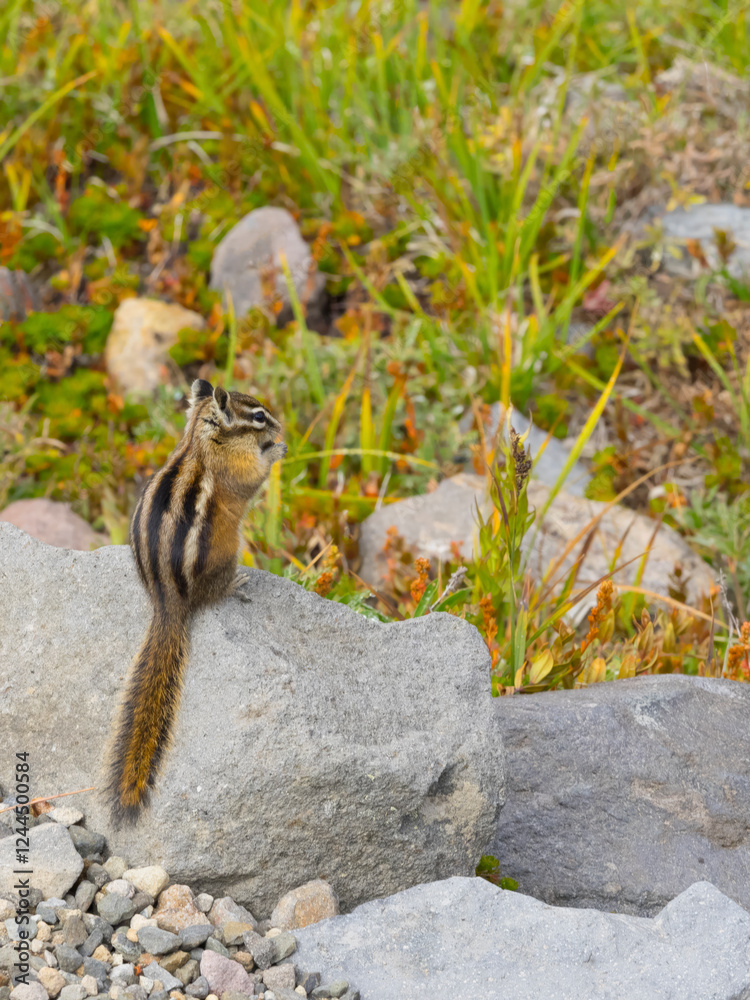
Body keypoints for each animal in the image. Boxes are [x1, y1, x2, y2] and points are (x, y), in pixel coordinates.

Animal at [105, 378, 286, 826]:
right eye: (259, 416)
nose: (280, 426)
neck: (199, 440)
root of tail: (167, 601)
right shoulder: (235, 468)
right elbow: (253, 478)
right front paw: (276, 450)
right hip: (227, 551)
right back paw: (237, 584)